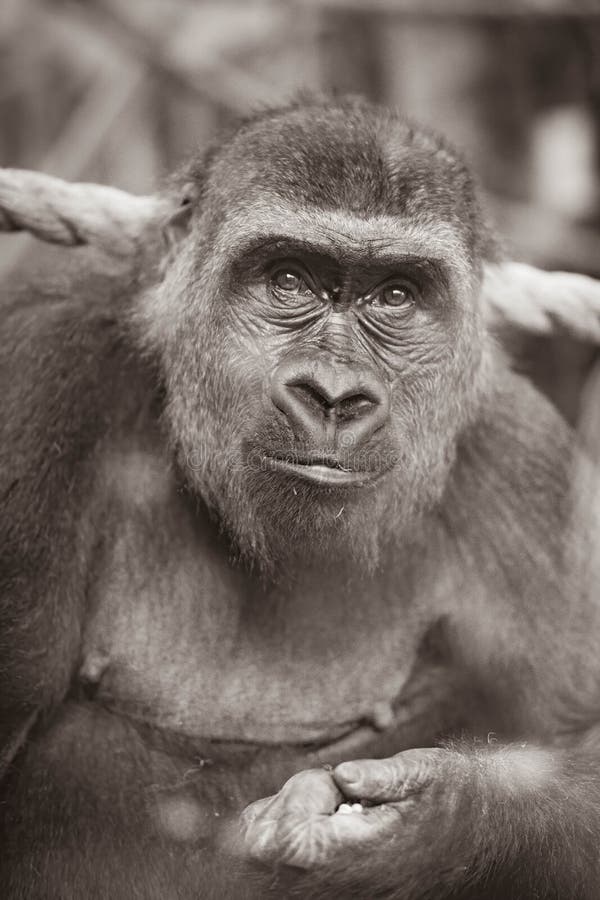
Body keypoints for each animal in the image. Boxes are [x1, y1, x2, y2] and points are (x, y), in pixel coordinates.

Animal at [0, 94, 600, 899]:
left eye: (396, 295)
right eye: (288, 280)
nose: (335, 396)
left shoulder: (532, 473)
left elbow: (571, 742)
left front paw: (438, 819)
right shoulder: (39, 373)